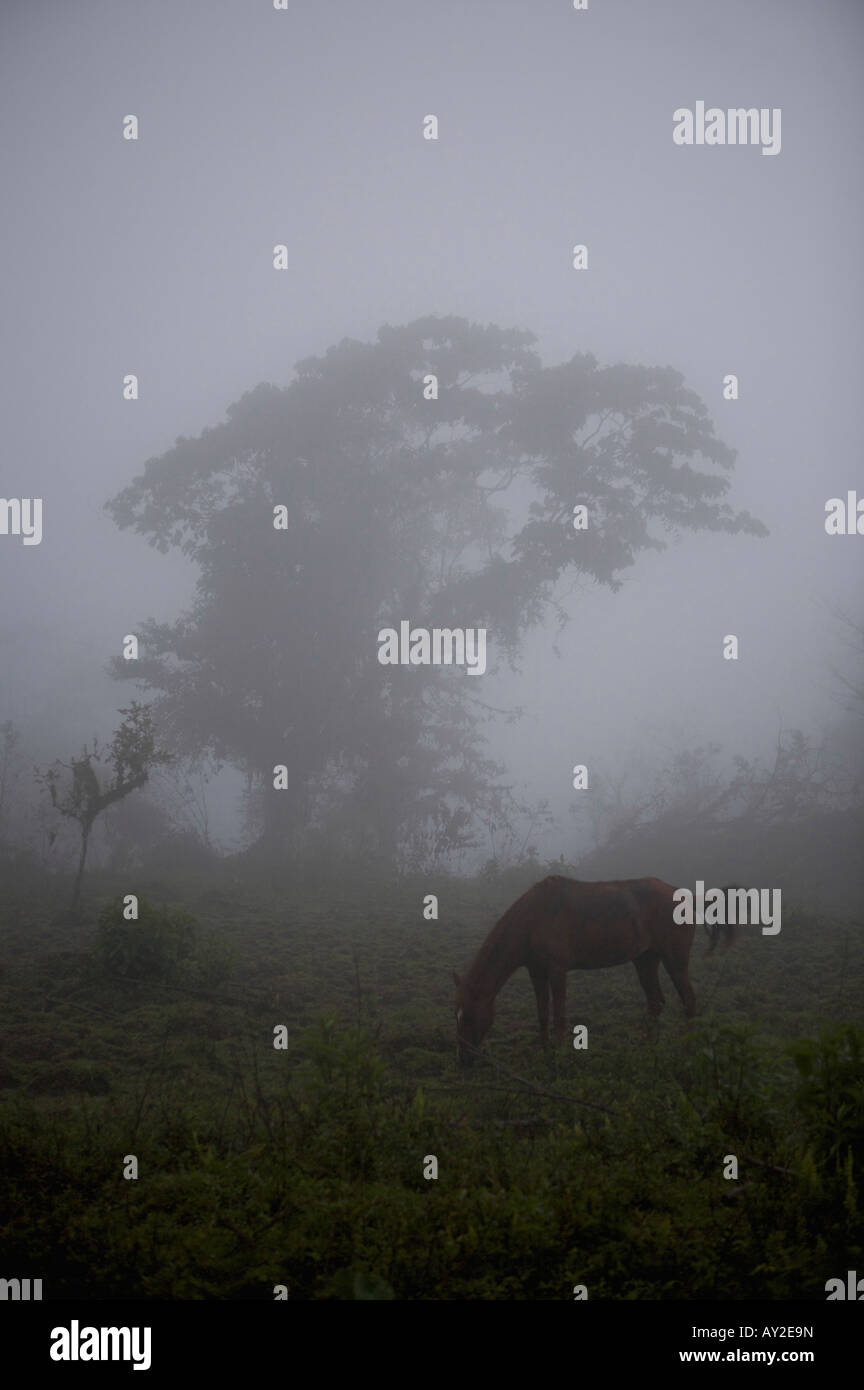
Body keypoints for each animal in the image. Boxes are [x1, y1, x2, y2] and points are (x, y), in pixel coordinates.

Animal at [452, 875, 735, 1064]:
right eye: (456, 1015)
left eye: (469, 1017)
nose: (463, 1057)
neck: (533, 917)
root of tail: (685, 895)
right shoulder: (536, 971)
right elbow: (542, 1013)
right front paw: (543, 1050)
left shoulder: (557, 969)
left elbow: (559, 1015)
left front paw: (560, 1053)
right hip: (646, 960)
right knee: (656, 1001)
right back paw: (649, 1045)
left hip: (674, 960)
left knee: (688, 1001)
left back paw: (688, 1050)